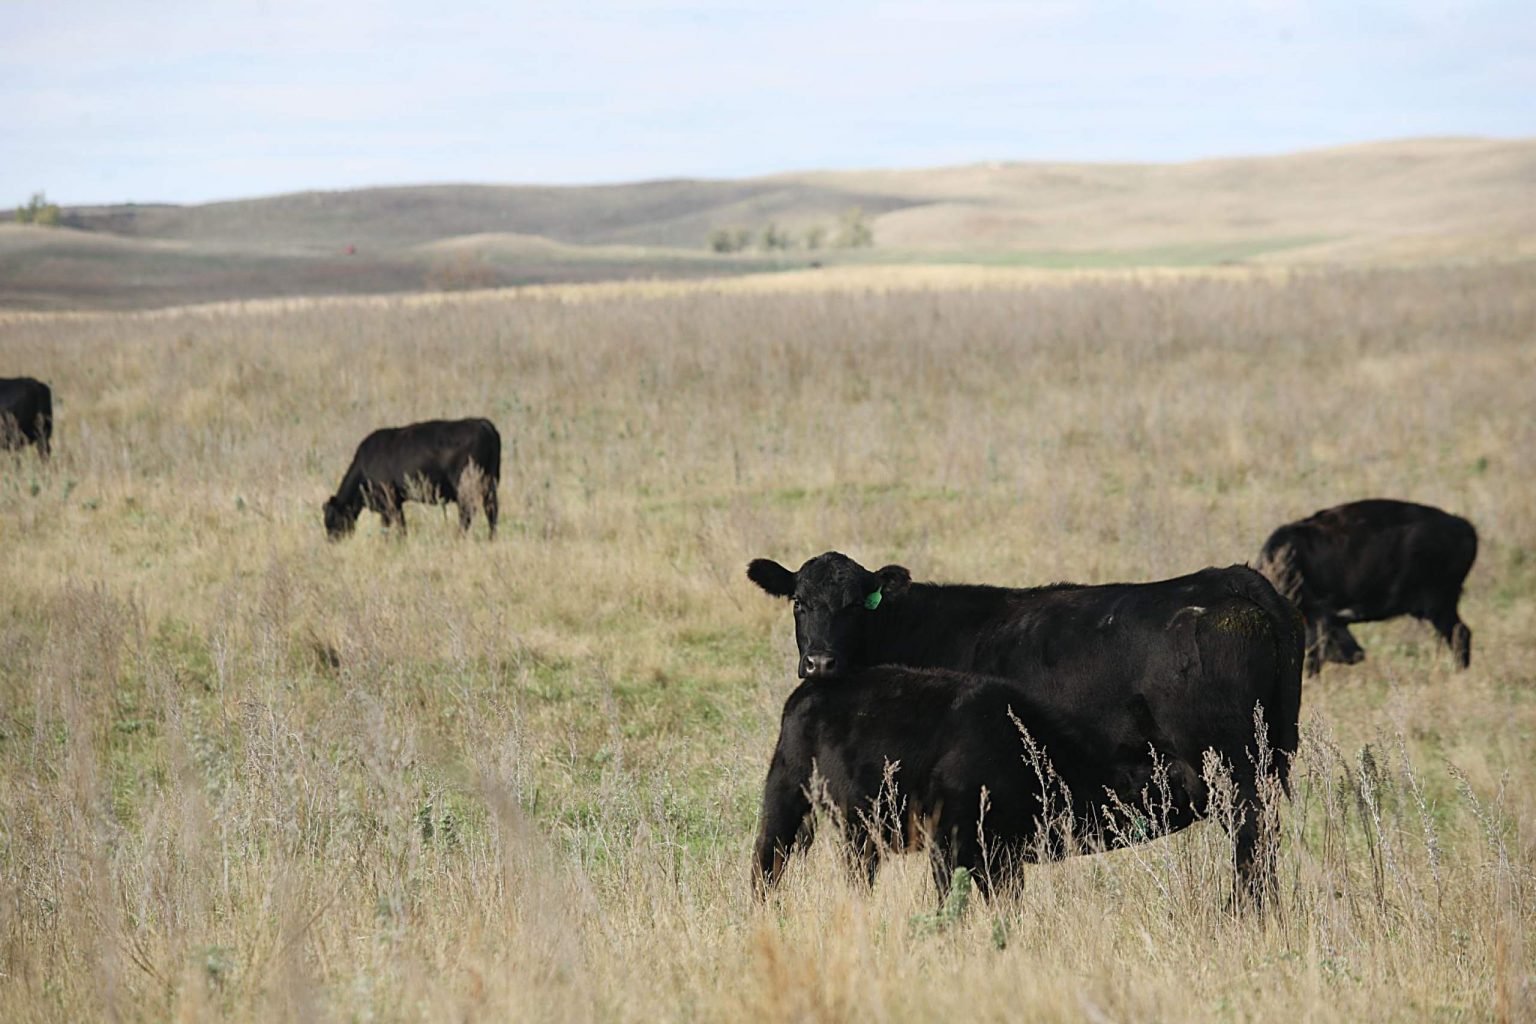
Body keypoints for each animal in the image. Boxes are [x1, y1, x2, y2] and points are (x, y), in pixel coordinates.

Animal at [323, 418, 500, 539]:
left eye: (332, 519)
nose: (332, 541)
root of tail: (482, 423)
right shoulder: (393, 503)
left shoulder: (389, 501)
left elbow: (398, 527)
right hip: (490, 485)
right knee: (491, 511)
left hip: (465, 487)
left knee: (467, 514)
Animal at [746, 552, 1303, 904]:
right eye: (799, 602)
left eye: (855, 605)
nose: (820, 662)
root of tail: (1232, 581)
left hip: (1233, 771)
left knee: (1252, 848)